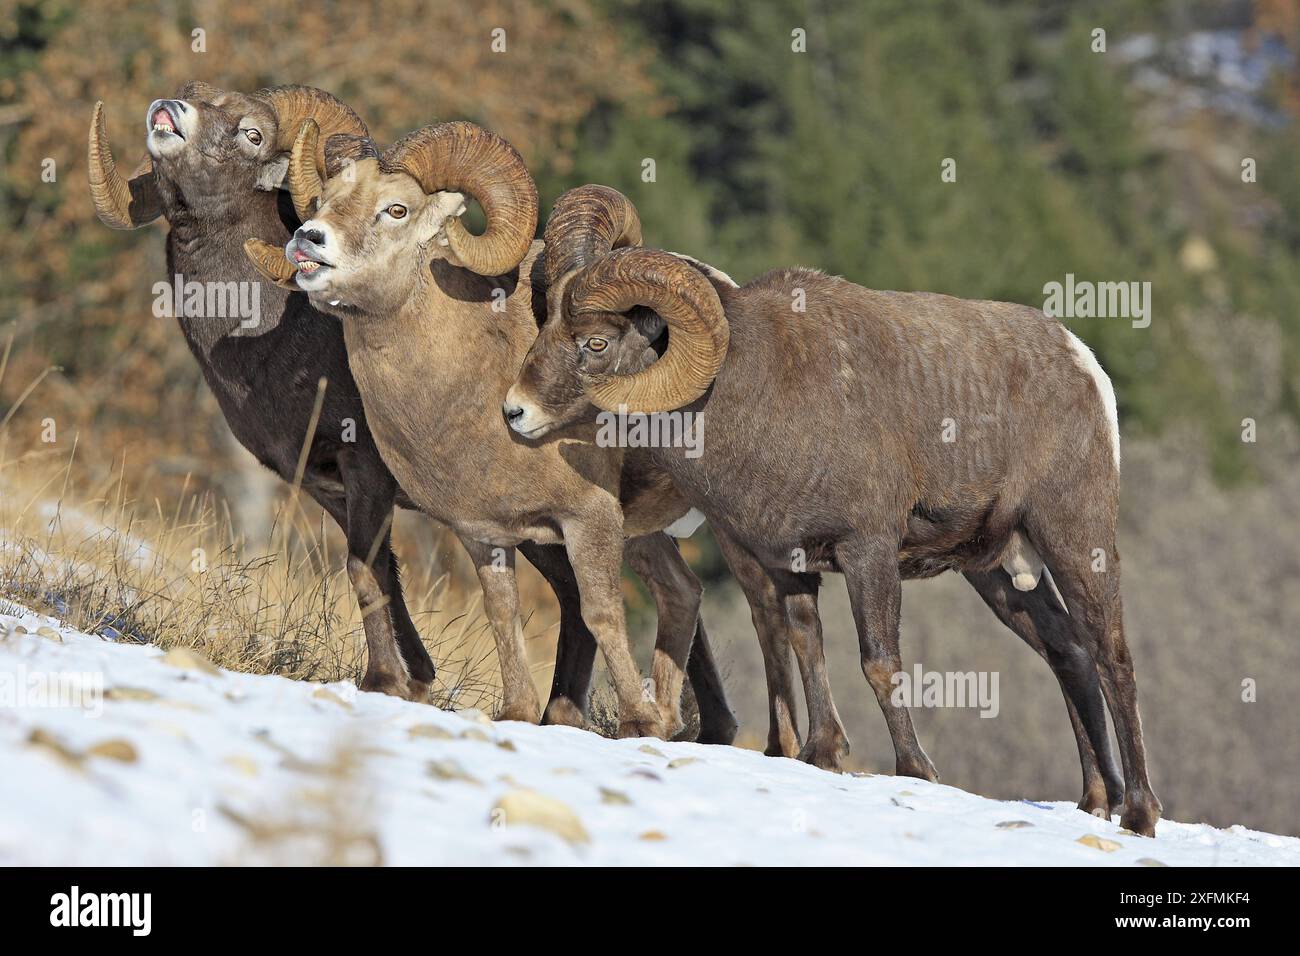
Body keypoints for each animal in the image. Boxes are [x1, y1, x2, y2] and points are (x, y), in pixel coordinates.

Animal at [88, 86, 736, 737]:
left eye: (250, 133)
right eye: (324, 199)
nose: (167, 112)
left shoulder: (368, 473)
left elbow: (365, 570)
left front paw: (385, 683)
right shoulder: (338, 490)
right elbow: (382, 576)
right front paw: (418, 680)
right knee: (658, 593)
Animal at [504, 185, 1162, 835]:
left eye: (595, 343)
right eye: (546, 320)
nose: (514, 411)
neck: (757, 393)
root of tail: (1081, 362)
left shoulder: (868, 552)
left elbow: (879, 663)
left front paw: (916, 770)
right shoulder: (789, 563)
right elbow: (805, 644)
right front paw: (821, 754)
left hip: (1074, 540)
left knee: (1112, 656)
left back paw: (1138, 814)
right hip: (998, 573)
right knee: (1067, 653)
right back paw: (1093, 803)